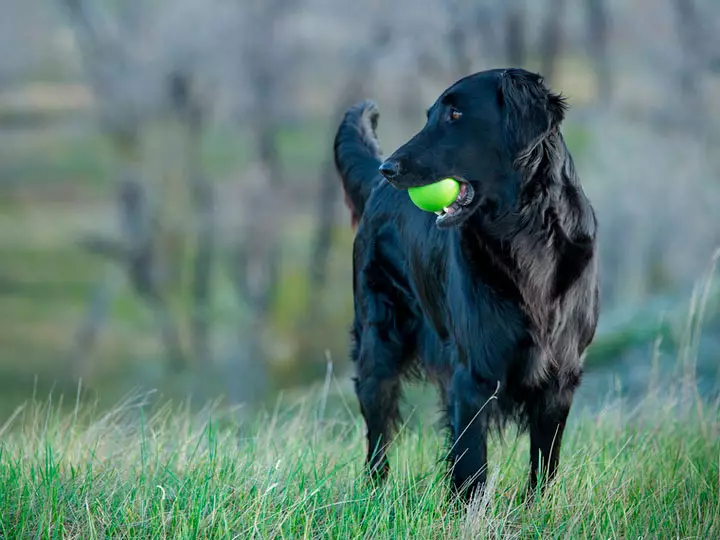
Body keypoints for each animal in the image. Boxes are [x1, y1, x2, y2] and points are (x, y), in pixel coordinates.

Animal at [334, 68, 600, 502]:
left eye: (456, 115)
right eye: (429, 116)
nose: (388, 168)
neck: (525, 237)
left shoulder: (559, 377)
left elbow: (545, 463)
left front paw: (537, 507)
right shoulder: (472, 375)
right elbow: (472, 467)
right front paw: (468, 511)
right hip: (379, 341)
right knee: (377, 434)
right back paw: (374, 494)